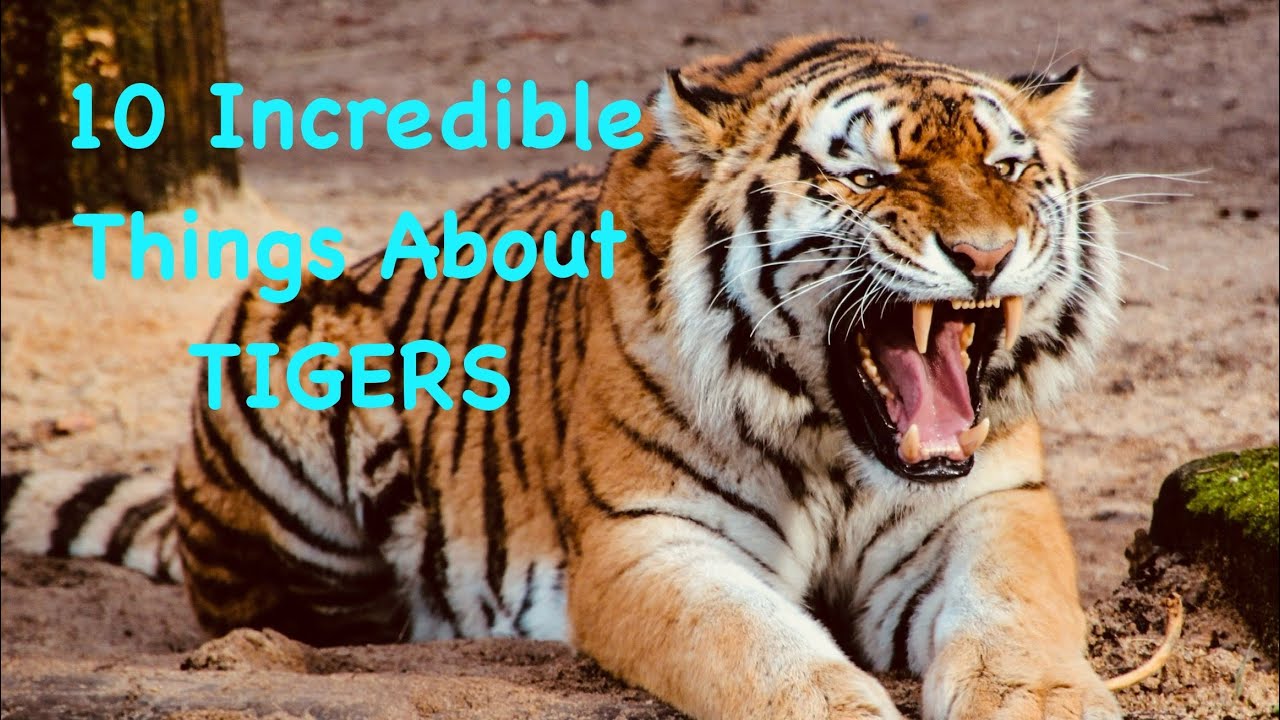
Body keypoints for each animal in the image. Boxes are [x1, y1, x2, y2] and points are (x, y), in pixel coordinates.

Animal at [2, 34, 1127, 719]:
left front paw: (1044, 700)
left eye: (1008, 169)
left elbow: (1017, 615)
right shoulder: (650, 537)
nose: (984, 255)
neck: (835, 442)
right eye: (868, 174)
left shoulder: (990, 504)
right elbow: (750, 641)